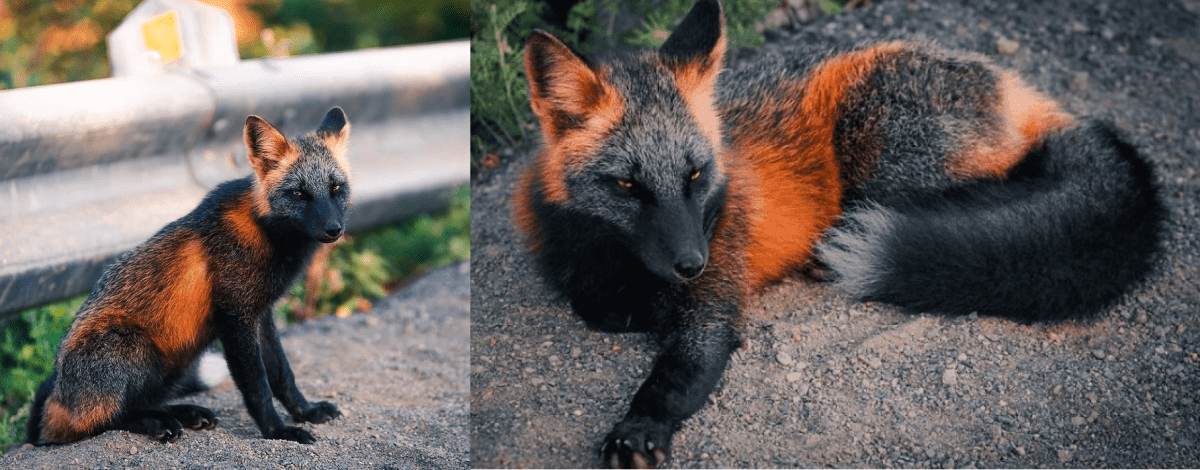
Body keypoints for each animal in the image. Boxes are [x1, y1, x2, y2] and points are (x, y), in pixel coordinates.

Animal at [25, 107, 351, 445]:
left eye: (336, 189)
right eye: (299, 193)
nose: (334, 229)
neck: (266, 233)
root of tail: (56, 391)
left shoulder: (261, 314)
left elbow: (283, 375)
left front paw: (306, 411)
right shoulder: (235, 317)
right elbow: (258, 388)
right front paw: (278, 431)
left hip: (175, 366)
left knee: (141, 402)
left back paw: (184, 413)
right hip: (133, 348)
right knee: (103, 421)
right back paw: (157, 422)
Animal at [512, 0, 1164, 467]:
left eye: (695, 175)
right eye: (627, 185)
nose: (692, 263)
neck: (622, 263)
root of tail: (1014, 85)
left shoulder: (716, 301)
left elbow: (676, 374)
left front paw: (640, 427)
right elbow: (595, 305)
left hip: (882, 157)